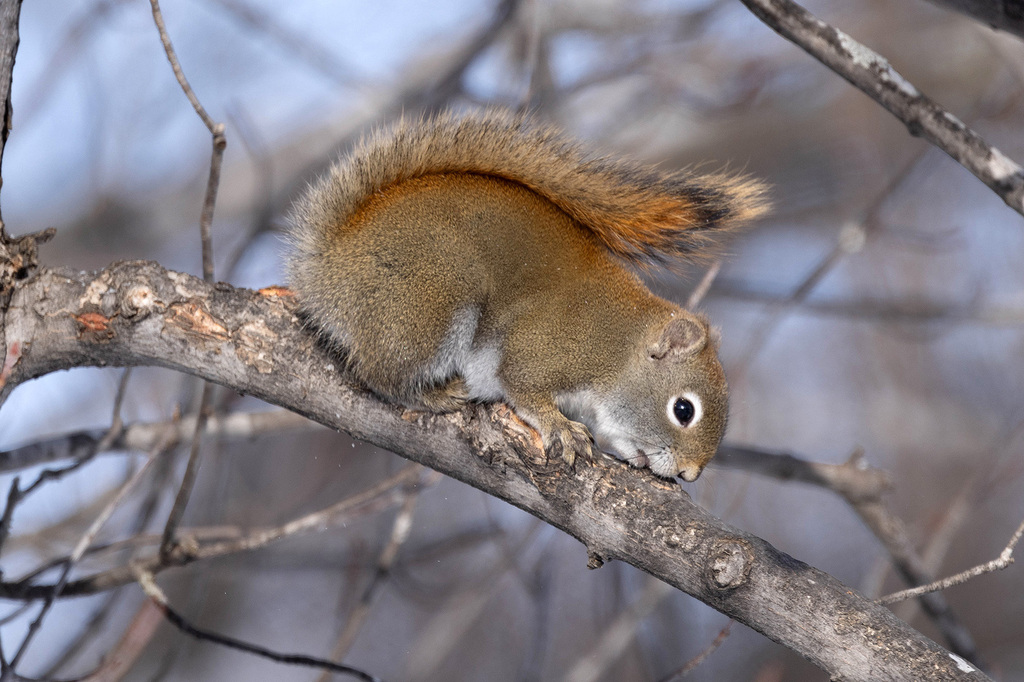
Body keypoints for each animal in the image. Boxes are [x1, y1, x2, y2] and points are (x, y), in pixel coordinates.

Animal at [286, 110, 768, 481]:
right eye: (683, 410)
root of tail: (329, 266)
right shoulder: (544, 349)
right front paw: (561, 426)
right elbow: (520, 383)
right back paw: (436, 394)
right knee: (381, 376)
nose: (691, 473)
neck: (617, 345)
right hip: (433, 301)